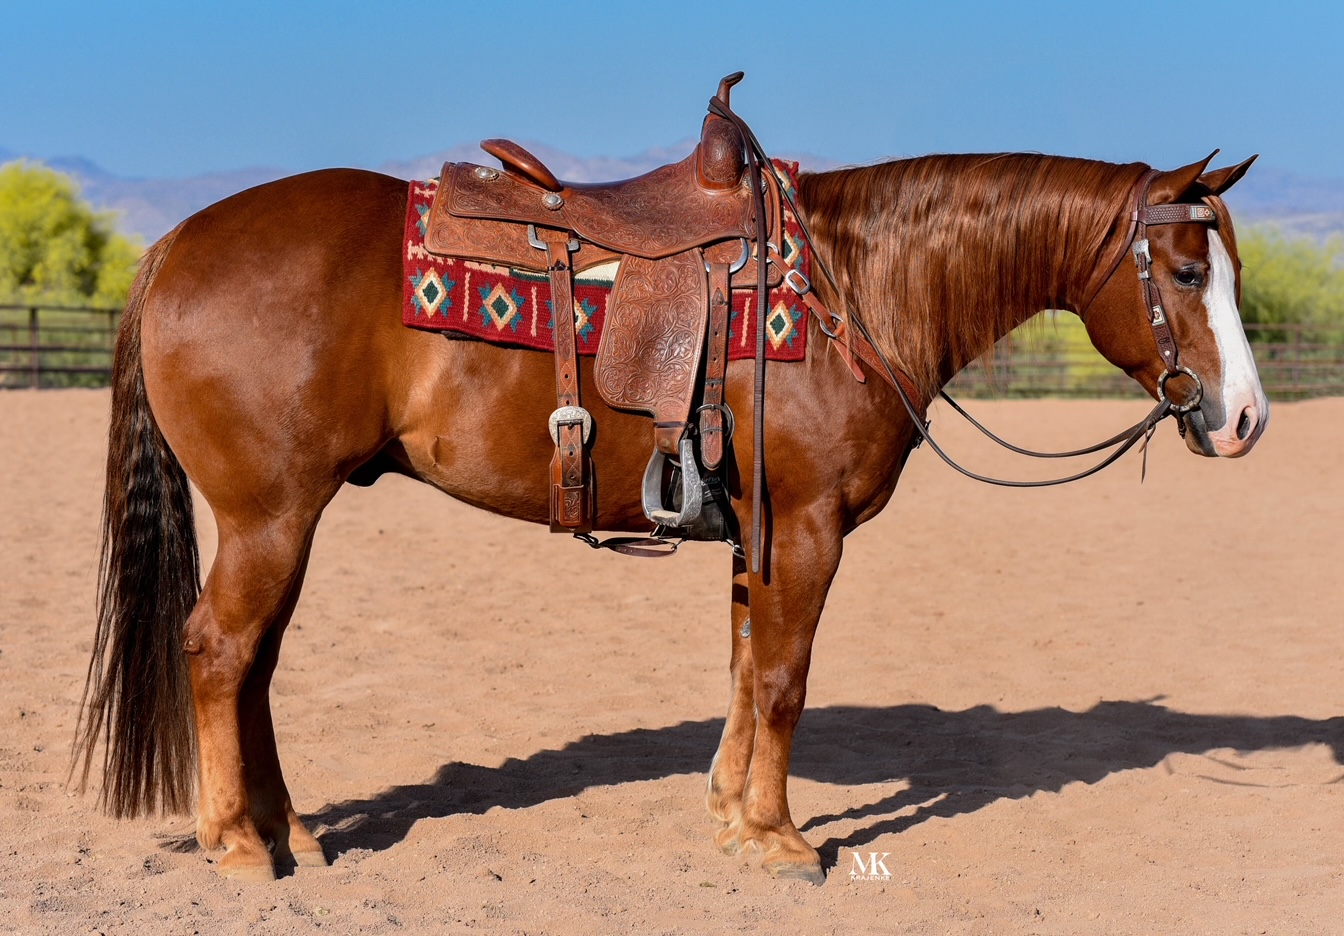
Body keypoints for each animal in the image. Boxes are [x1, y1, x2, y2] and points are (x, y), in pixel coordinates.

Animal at [75, 146, 1266, 885]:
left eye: (1235, 271)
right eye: (1186, 269)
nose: (1245, 418)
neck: (853, 287)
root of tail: (177, 244)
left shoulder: (757, 534)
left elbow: (743, 668)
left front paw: (734, 813)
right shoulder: (808, 529)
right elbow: (784, 681)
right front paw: (781, 839)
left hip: (285, 518)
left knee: (255, 663)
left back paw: (292, 832)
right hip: (271, 515)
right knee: (220, 651)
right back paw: (238, 843)